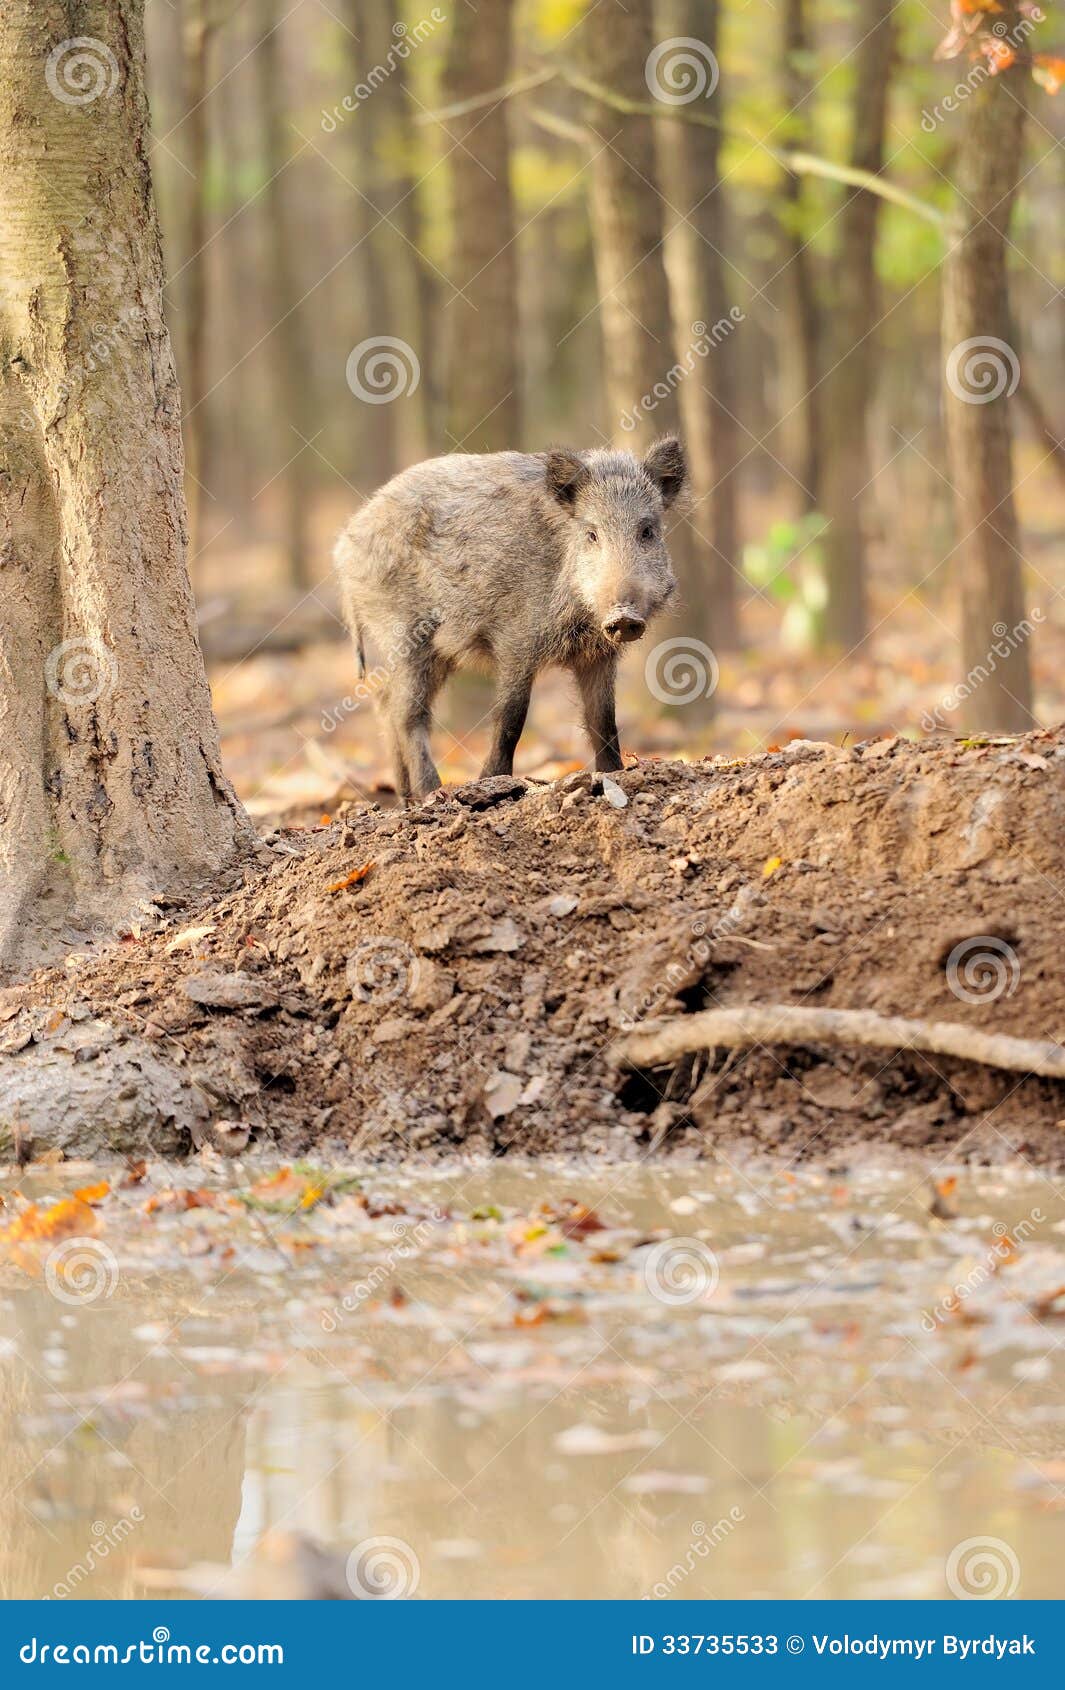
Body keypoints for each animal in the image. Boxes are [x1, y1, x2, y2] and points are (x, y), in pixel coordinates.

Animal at [333, 436, 688, 801]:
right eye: (591, 534)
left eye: (647, 531)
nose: (624, 616)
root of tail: (344, 547)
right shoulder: (514, 642)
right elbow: (511, 717)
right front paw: (493, 783)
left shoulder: (599, 655)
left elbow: (602, 719)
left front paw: (613, 774)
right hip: (404, 635)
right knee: (408, 715)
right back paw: (433, 794)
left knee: (386, 705)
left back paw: (406, 798)